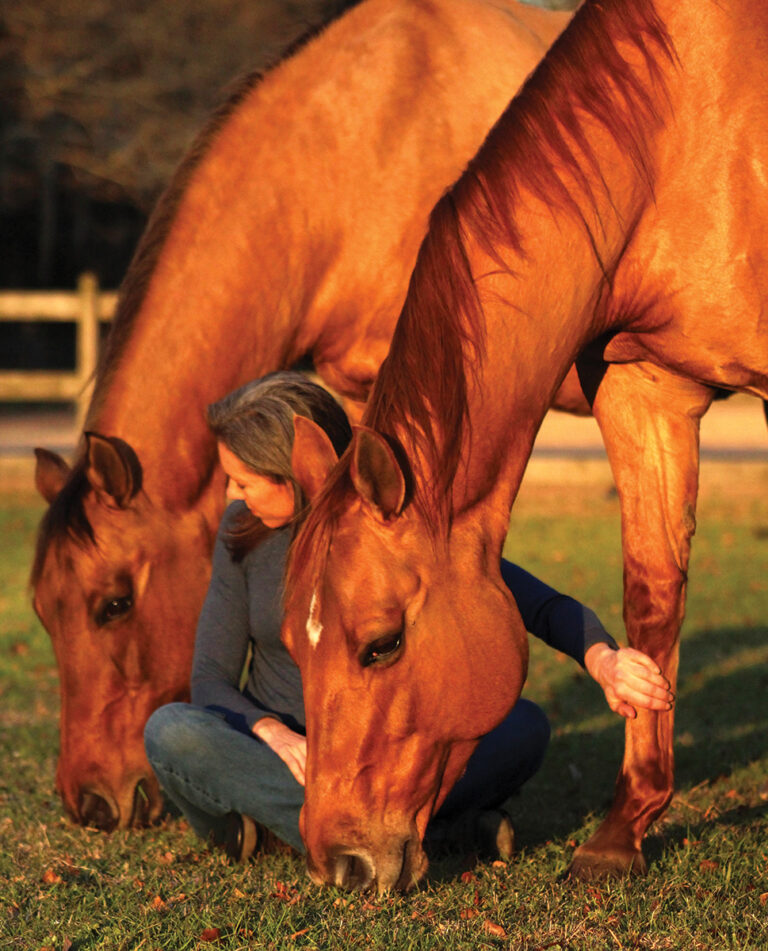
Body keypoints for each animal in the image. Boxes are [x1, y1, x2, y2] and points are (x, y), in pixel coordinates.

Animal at [282, 0, 768, 892]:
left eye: (382, 643)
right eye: (295, 647)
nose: (342, 863)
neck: (692, 133)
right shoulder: (645, 387)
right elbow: (653, 592)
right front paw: (622, 829)